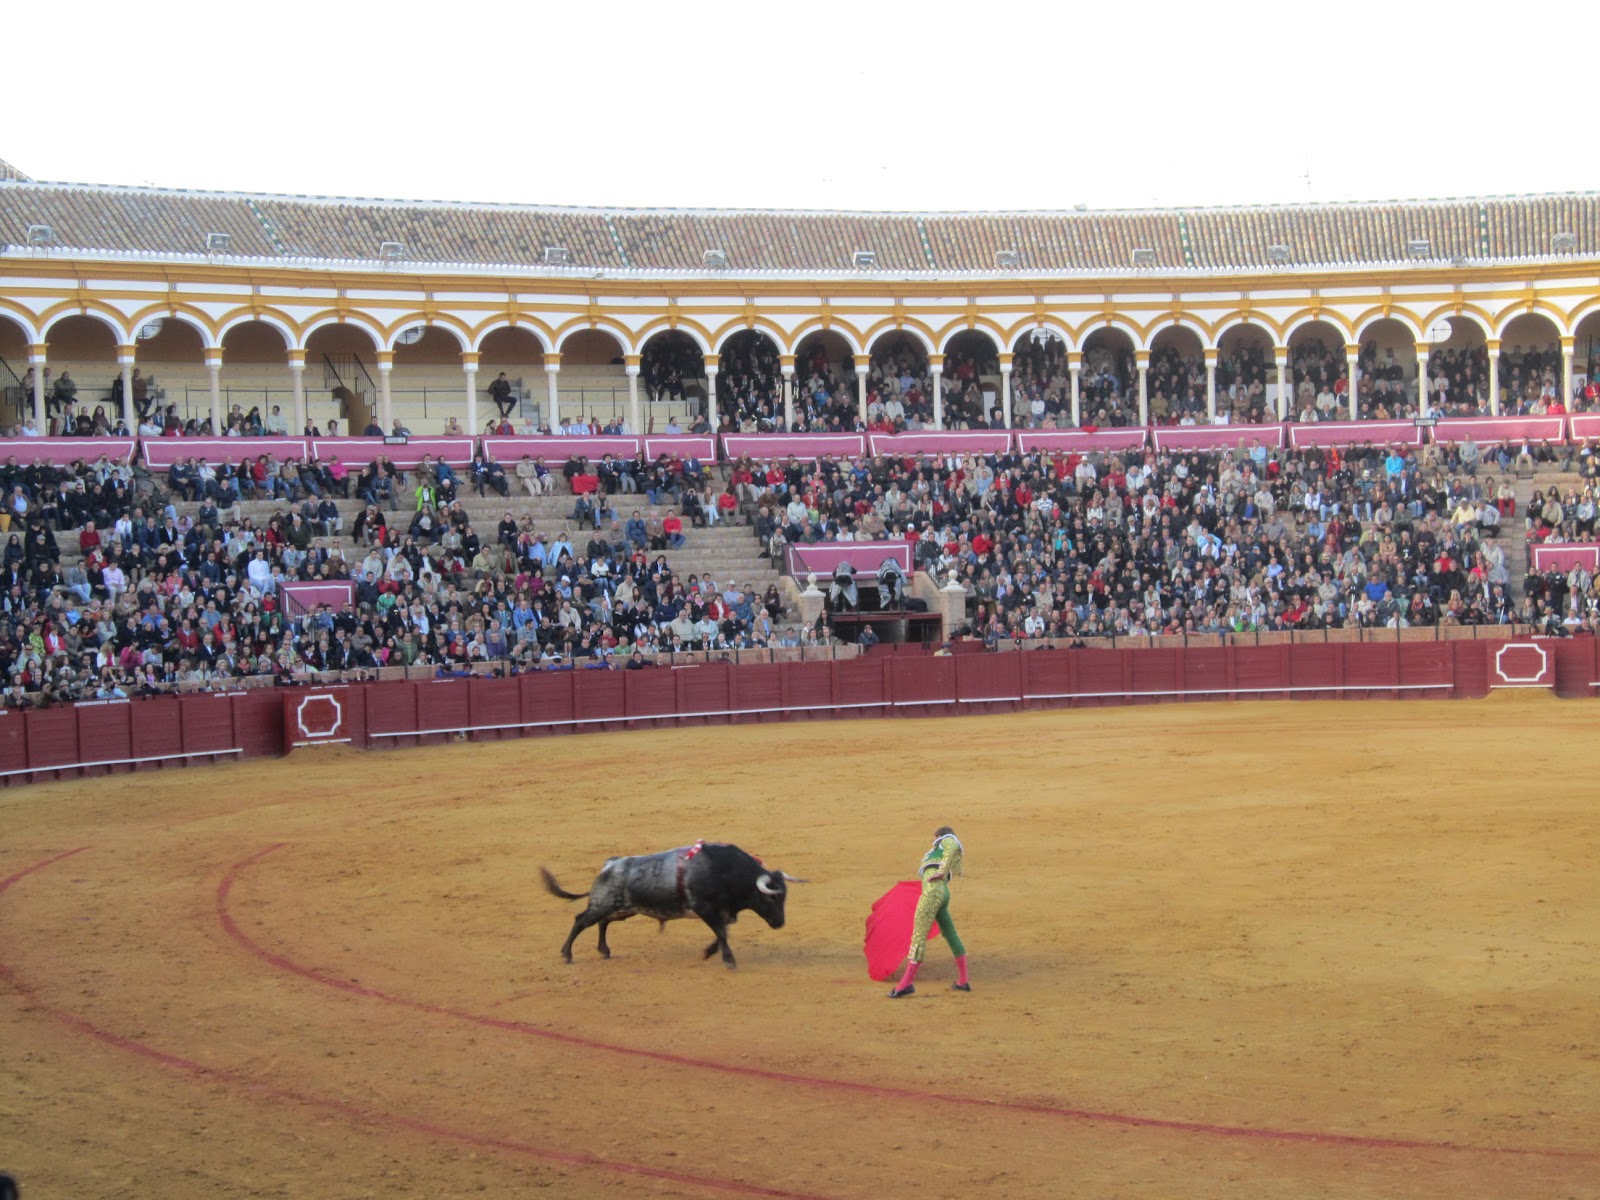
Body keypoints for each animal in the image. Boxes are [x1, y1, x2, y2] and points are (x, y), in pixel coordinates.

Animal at [540, 841, 803, 968]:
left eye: (784, 897)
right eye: (771, 897)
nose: (779, 923)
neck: (727, 871)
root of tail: (609, 865)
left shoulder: (722, 912)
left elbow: (722, 933)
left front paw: (709, 952)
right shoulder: (705, 909)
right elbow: (721, 933)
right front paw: (729, 960)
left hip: (622, 909)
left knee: (602, 923)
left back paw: (604, 950)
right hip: (604, 904)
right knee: (581, 921)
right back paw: (567, 954)